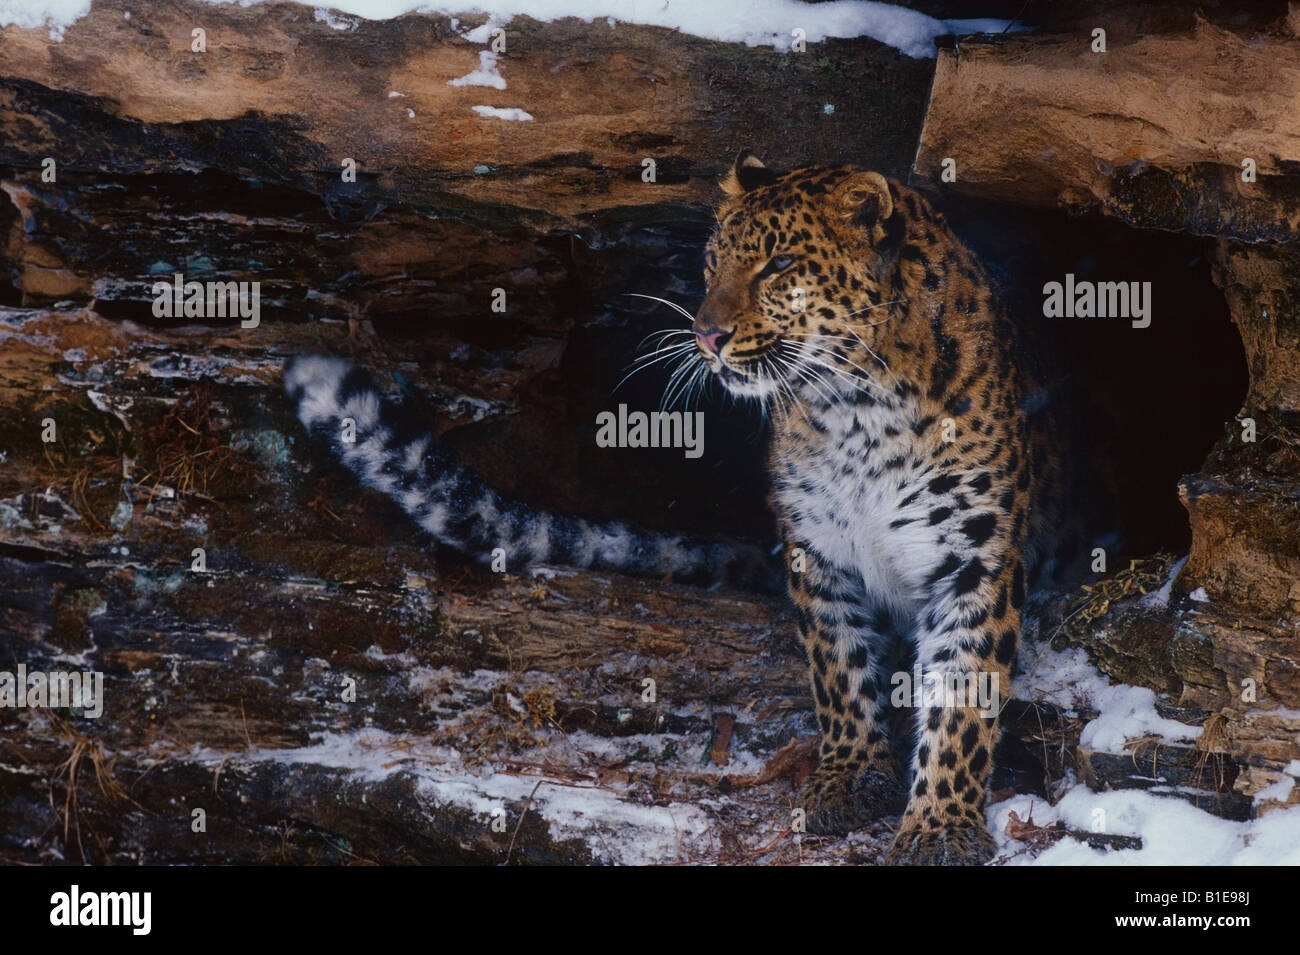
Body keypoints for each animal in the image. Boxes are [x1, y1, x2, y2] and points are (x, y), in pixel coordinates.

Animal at [284, 151, 1081, 865]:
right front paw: (849, 775)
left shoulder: (974, 559)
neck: (857, 412)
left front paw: (940, 823)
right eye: (713, 263)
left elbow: (961, 697)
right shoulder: (818, 551)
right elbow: (841, 671)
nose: (706, 334)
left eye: (780, 265)